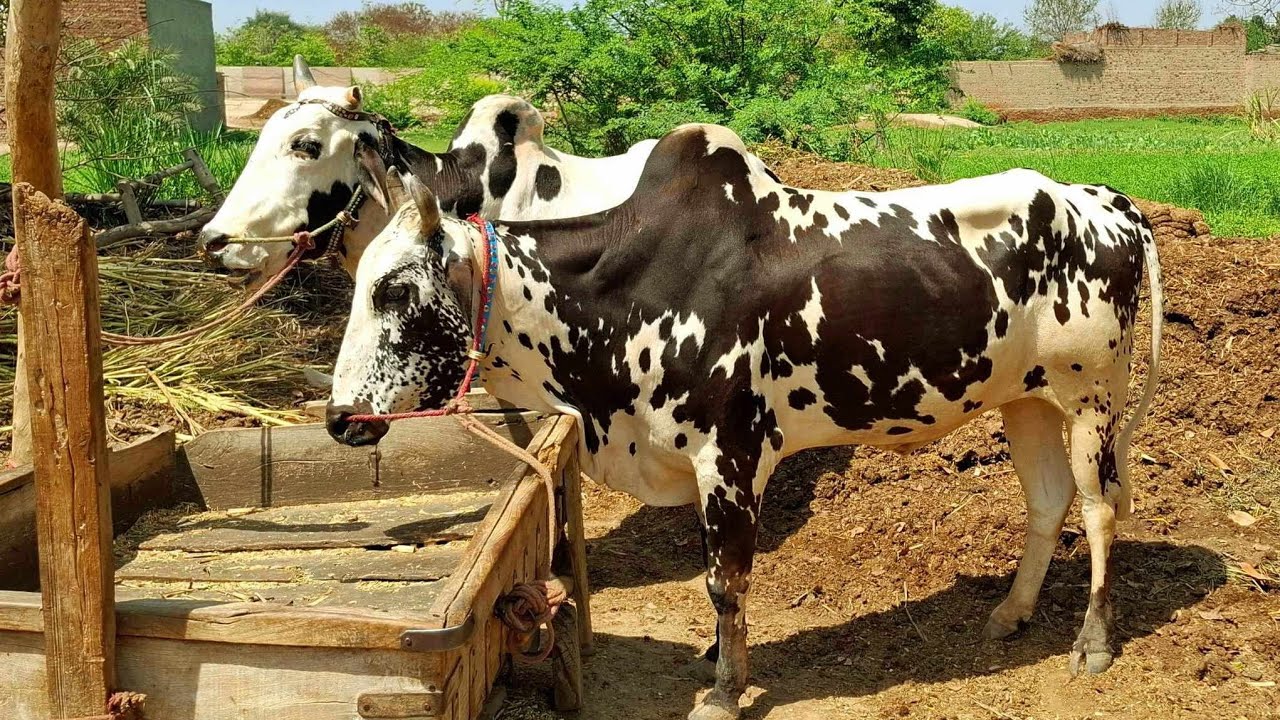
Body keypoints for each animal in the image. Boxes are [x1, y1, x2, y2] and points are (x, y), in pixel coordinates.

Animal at [325, 123, 1163, 720]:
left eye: (395, 291)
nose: (338, 418)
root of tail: (1104, 199)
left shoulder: (729, 457)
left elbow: (725, 580)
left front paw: (726, 688)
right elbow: (714, 581)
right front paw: (717, 659)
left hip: (1092, 403)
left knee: (1098, 511)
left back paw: (1092, 641)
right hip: (1026, 401)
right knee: (1047, 503)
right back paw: (1011, 613)